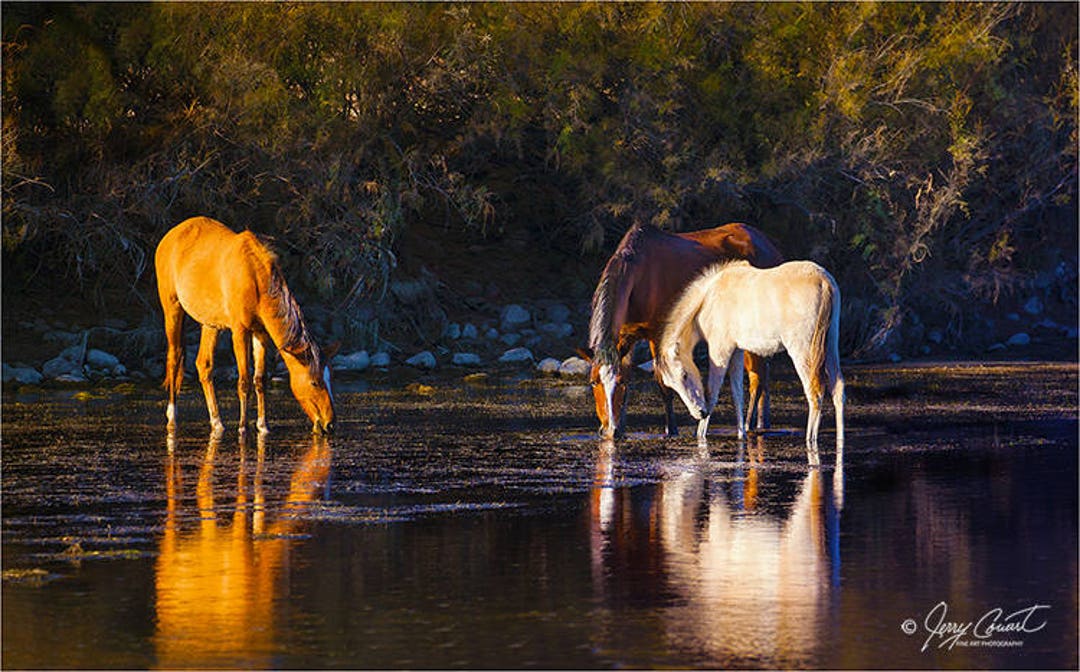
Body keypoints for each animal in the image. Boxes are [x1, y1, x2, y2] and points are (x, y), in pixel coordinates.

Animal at [155, 217, 337, 435]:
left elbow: (260, 379)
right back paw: (172, 417)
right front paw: (243, 426)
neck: (257, 283)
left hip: (210, 323)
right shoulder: (240, 330)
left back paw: (217, 422)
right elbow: (244, 381)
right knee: (174, 358)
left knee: (203, 365)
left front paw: (263, 425)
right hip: (172, 307)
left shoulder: (260, 332)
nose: (330, 423)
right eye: (314, 382)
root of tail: (166, 239)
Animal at [585, 222, 784, 439]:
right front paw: (621, 427)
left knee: (757, 379)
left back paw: (747, 425)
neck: (637, 277)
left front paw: (670, 429)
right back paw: (761, 422)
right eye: (593, 382)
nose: (608, 430)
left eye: (618, 383)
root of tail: (769, 246)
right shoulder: (625, 336)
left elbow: (662, 383)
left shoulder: (657, 335)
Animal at [655, 260, 845, 464]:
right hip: (831, 342)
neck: (705, 302)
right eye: (670, 384)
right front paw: (741, 433)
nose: (700, 412)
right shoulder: (737, 350)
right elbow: (737, 393)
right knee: (838, 389)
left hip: (802, 347)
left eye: (684, 375)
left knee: (814, 392)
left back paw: (810, 439)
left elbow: (712, 393)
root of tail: (825, 281)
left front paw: (700, 434)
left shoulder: (719, 347)